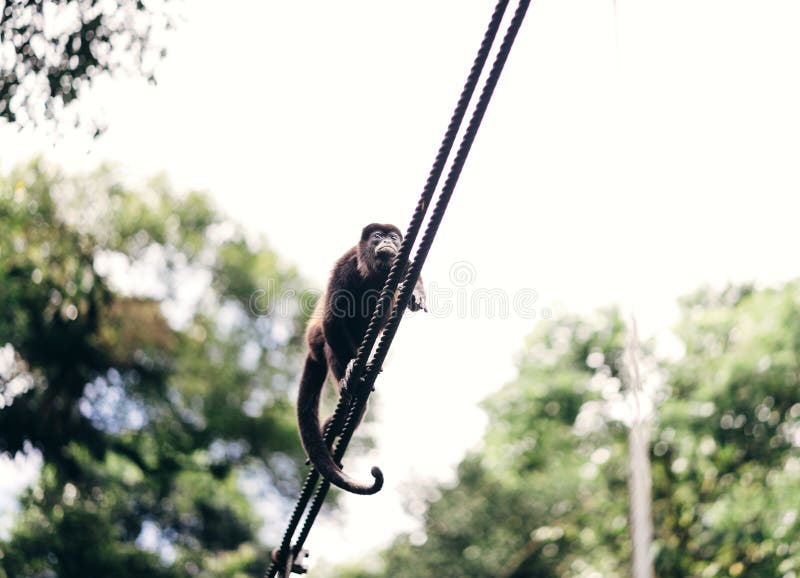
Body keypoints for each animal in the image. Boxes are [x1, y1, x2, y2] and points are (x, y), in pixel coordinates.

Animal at [296, 223, 426, 495]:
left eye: (394, 238)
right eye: (377, 236)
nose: (387, 240)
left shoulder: (401, 260)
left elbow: (413, 271)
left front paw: (418, 293)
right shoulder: (346, 263)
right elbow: (332, 318)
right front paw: (350, 369)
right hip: (322, 342)